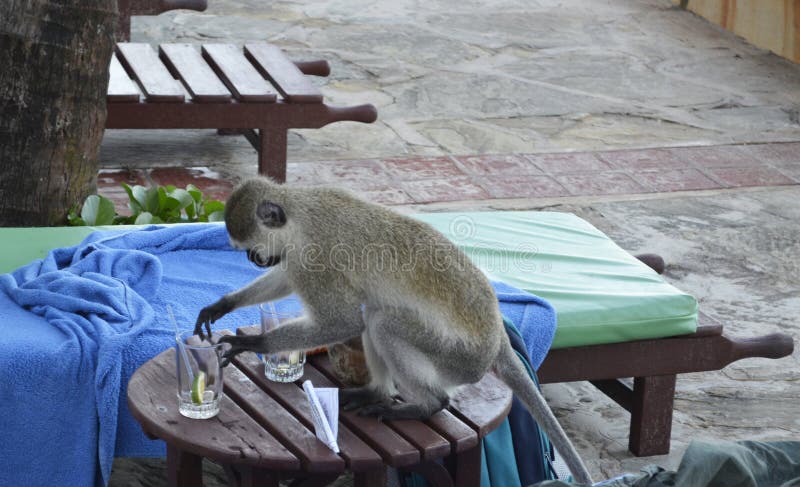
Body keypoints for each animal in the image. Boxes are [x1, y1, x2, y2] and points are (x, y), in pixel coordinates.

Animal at [195, 176, 593, 484]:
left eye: (250, 248)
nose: (254, 259)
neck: (302, 214)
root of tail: (496, 337)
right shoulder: (297, 257)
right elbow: (284, 280)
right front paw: (223, 305)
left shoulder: (315, 261)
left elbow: (344, 321)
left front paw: (251, 341)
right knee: (376, 316)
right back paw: (375, 392)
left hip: (457, 359)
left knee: (381, 322)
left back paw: (427, 404)